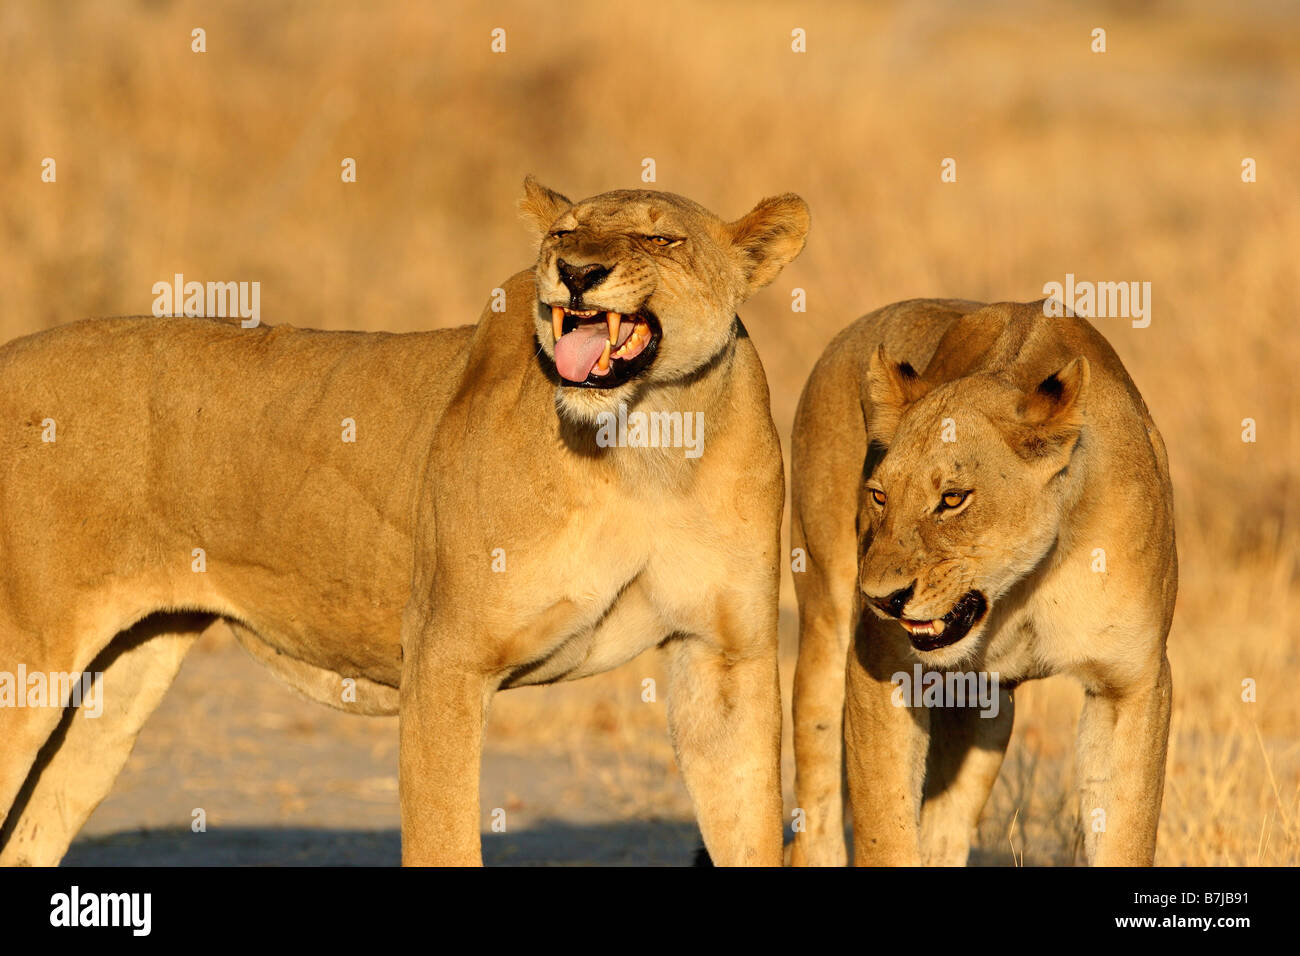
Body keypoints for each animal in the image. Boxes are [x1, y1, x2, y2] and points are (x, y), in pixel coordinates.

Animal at [0, 177, 809, 866]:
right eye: (564, 231)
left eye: (661, 238)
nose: (574, 273)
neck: (648, 448)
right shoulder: (444, 653)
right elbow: (443, 835)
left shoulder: (724, 657)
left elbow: (749, 824)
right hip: (27, 656)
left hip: (127, 672)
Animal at [789, 298, 1176, 866]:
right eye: (879, 496)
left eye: (953, 498)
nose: (880, 599)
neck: (1024, 584)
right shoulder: (879, 663)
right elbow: (885, 827)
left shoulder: (1131, 680)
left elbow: (1127, 832)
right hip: (824, 619)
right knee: (814, 805)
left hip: (986, 711)